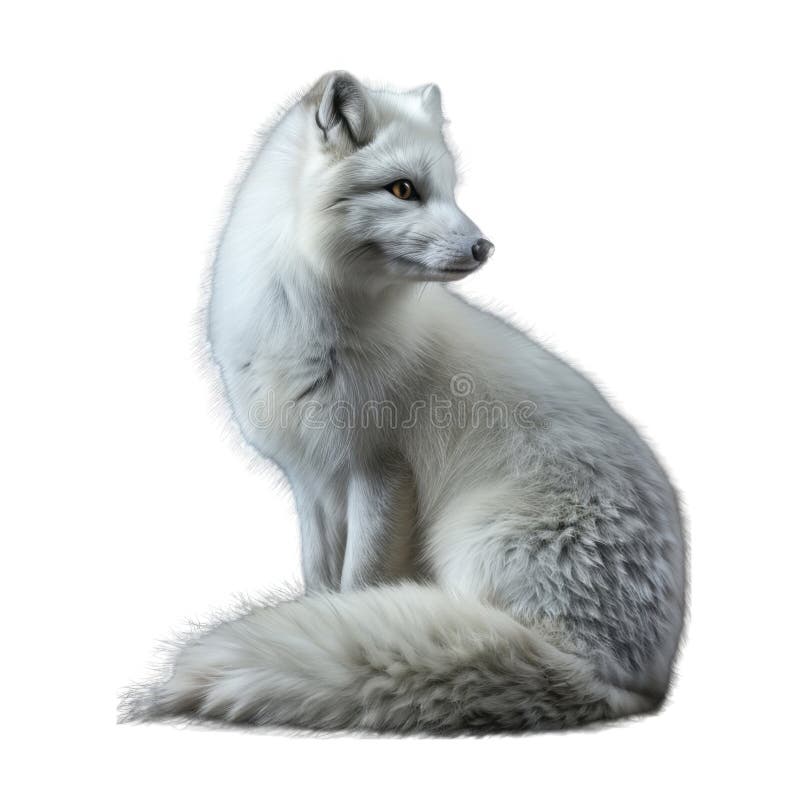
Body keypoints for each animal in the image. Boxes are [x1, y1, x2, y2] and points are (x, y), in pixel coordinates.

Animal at [124, 72, 686, 733]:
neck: (311, 325)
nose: (484, 246)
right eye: (403, 190)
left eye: (448, 189)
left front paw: (332, 620)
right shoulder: (313, 477)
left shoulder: (381, 470)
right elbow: (321, 577)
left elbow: (360, 581)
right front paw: (316, 614)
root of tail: (622, 682)